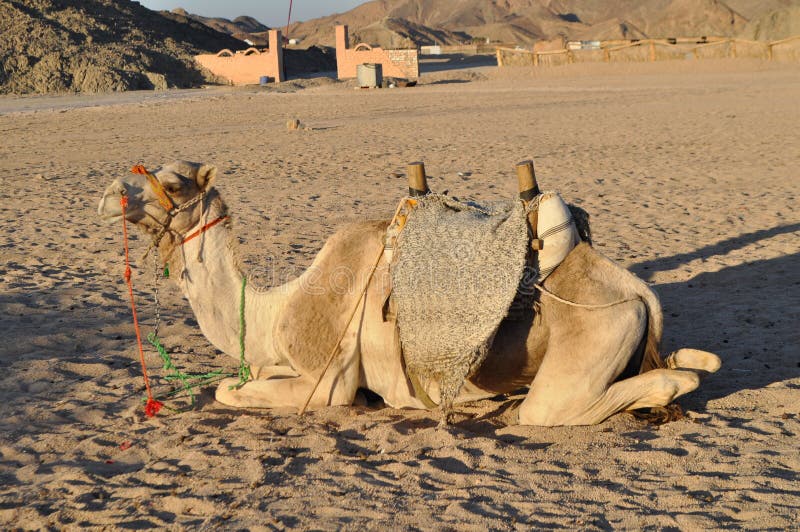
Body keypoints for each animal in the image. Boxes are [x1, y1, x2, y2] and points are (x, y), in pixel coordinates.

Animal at [98, 160, 721, 426]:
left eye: (171, 182)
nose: (107, 193)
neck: (274, 312)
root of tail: (636, 290)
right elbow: (236, 382)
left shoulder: (328, 383)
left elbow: (228, 391)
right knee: (686, 366)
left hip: (588, 338)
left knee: (568, 404)